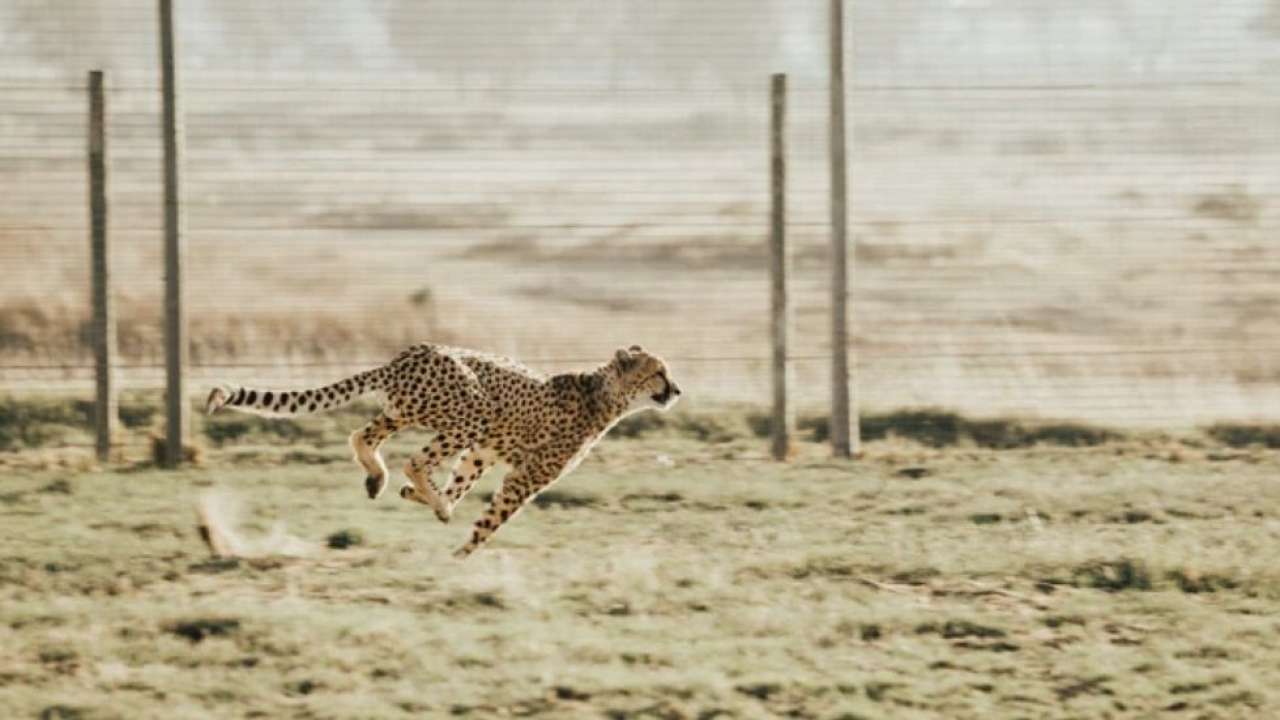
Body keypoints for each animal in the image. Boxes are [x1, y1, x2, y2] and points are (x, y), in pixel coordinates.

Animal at [205, 343, 681, 558]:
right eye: (658, 372)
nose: (677, 390)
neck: (603, 393)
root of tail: (408, 354)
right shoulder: (524, 475)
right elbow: (492, 519)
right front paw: (461, 553)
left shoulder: (484, 451)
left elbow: (462, 481)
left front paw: (430, 502)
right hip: (471, 411)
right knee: (414, 459)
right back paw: (422, 493)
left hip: (407, 412)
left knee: (363, 436)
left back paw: (381, 480)